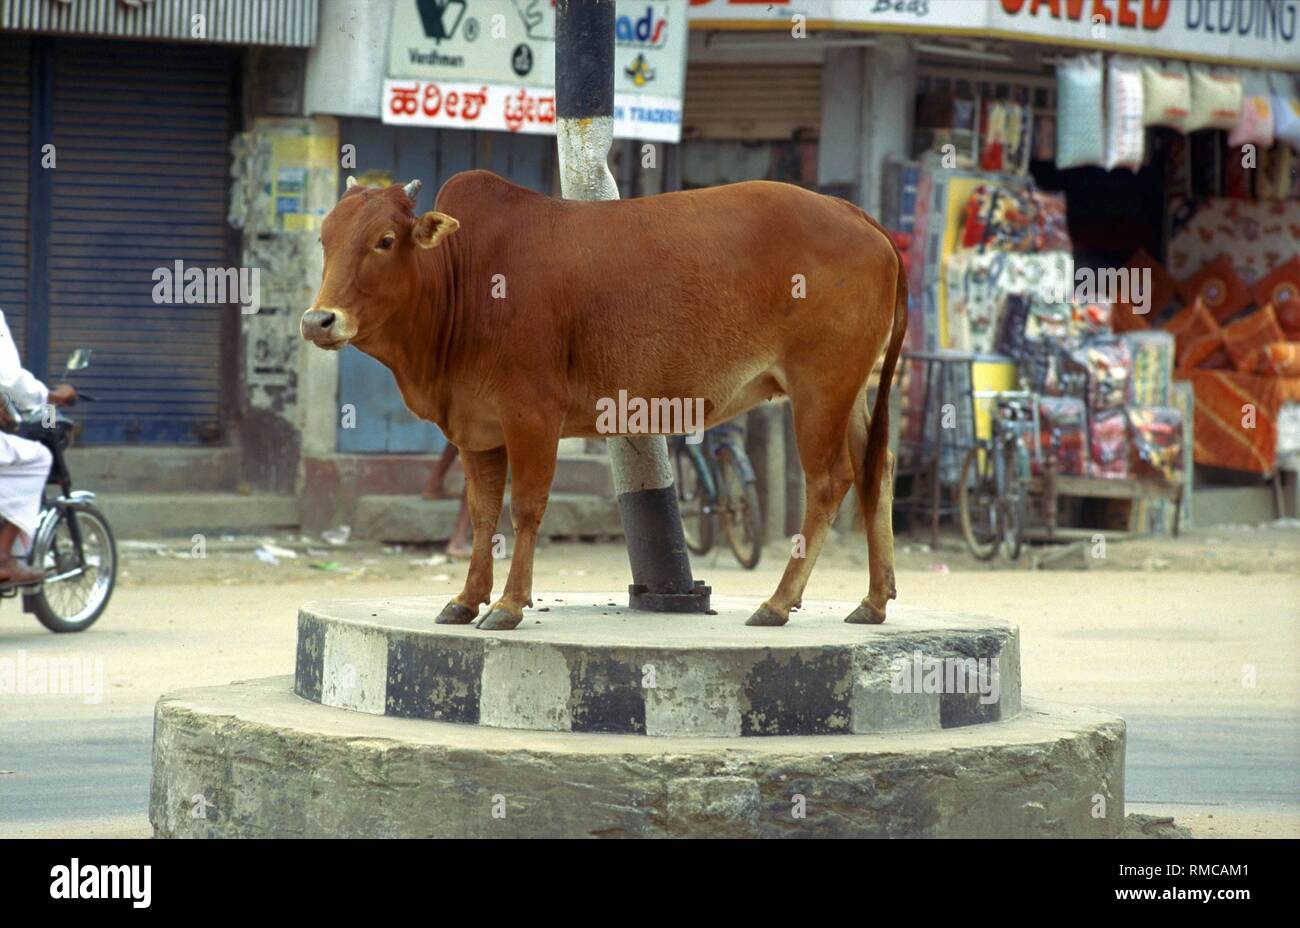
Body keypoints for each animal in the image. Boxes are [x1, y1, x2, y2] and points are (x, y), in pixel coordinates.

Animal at [301, 170, 906, 631]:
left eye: (384, 240)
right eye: (325, 239)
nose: (318, 320)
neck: (464, 277)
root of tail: (855, 213)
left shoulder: (532, 416)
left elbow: (525, 509)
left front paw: (509, 605)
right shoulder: (477, 428)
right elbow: (481, 513)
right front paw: (467, 598)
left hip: (819, 386)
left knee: (829, 481)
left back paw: (779, 602)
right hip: (850, 390)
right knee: (878, 469)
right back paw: (873, 600)